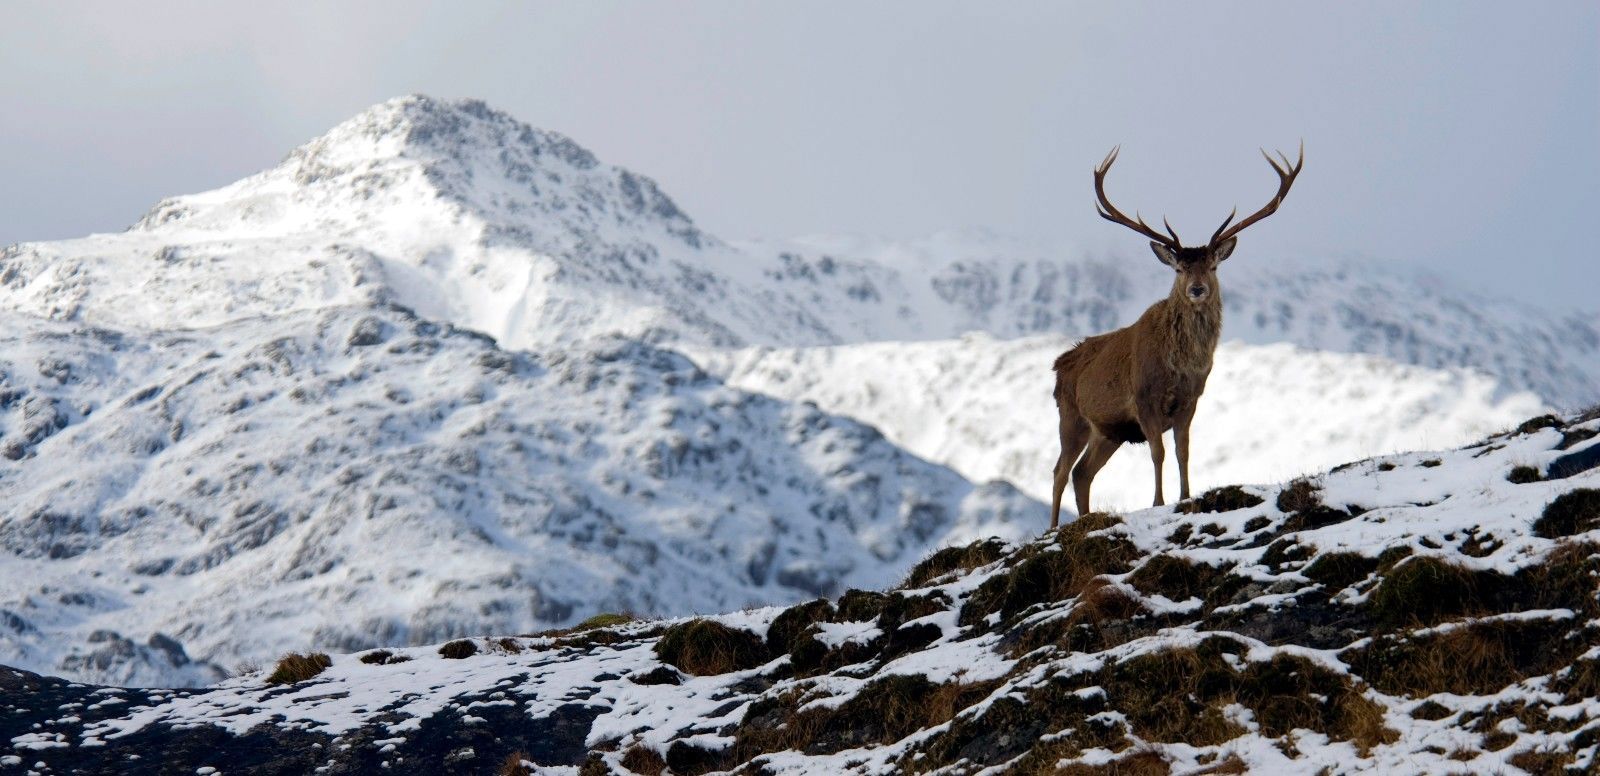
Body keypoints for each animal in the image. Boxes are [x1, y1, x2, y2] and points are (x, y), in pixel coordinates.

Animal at [1048, 144, 1303, 529]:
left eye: (1212, 265)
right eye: (1180, 268)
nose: (1197, 289)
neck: (1180, 366)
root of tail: (1059, 365)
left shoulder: (1190, 400)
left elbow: (1183, 450)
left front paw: (1185, 496)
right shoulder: (1144, 399)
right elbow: (1158, 452)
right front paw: (1157, 501)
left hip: (1108, 431)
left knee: (1082, 473)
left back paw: (1085, 518)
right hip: (1071, 416)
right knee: (1060, 472)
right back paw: (1050, 528)